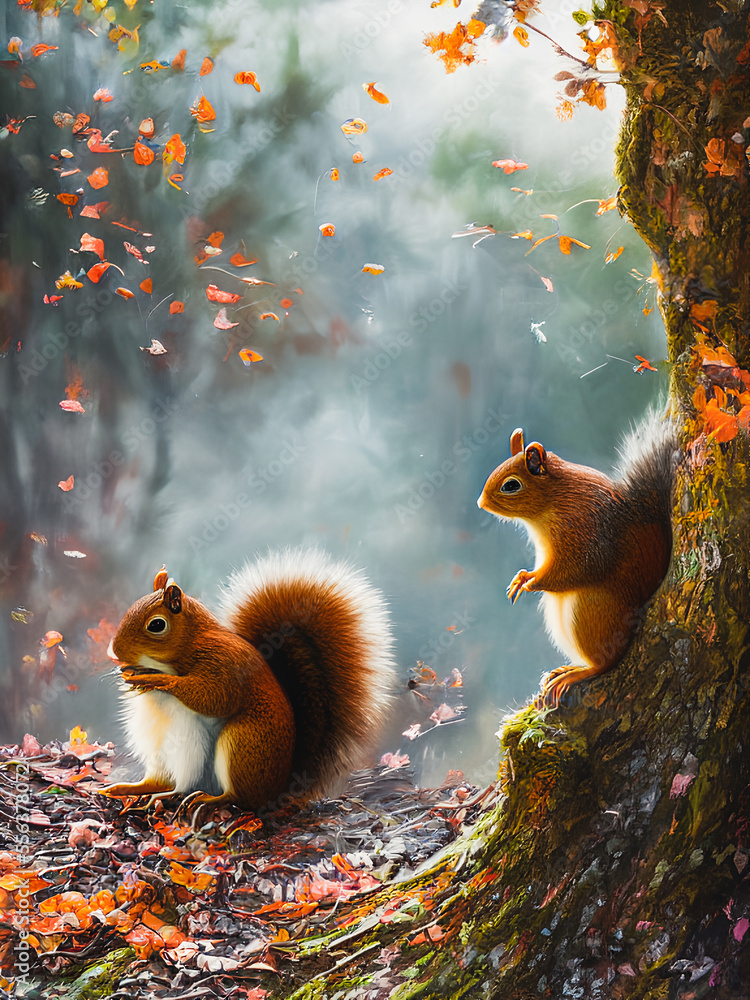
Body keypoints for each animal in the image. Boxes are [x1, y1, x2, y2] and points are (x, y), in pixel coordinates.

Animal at [103, 548, 396, 814]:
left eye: (156, 625)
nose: (115, 652)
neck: (191, 642)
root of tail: (279, 789)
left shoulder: (225, 664)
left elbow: (216, 698)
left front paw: (161, 680)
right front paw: (127, 676)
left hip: (240, 741)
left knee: (228, 794)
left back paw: (195, 797)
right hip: (158, 750)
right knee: (159, 779)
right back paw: (127, 788)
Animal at [477, 417, 676, 706]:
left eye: (511, 485)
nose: (480, 503)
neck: (553, 500)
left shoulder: (583, 531)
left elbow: (576, 568)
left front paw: (530, 582)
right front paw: (521, 577)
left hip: (590, 611)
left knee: (606, 662)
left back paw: (576, 674)